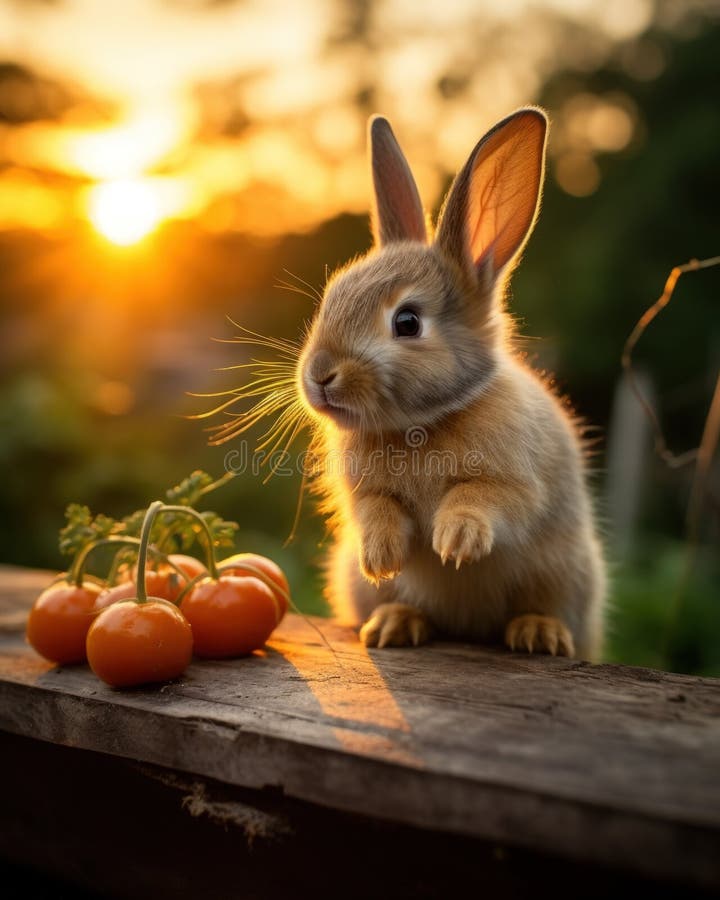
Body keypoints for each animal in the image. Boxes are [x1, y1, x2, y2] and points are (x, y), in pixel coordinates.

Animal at [297, 108, 605, 660]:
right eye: (331, 297)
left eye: (407, 322)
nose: (319, 377)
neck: (423, 423)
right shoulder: (365, 494)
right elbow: (375, 510)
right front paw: (381, 557)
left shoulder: (517, 484)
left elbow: (483, 499)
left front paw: (455, 541)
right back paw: (394, 623)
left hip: (569, 573)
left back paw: (539, 635)